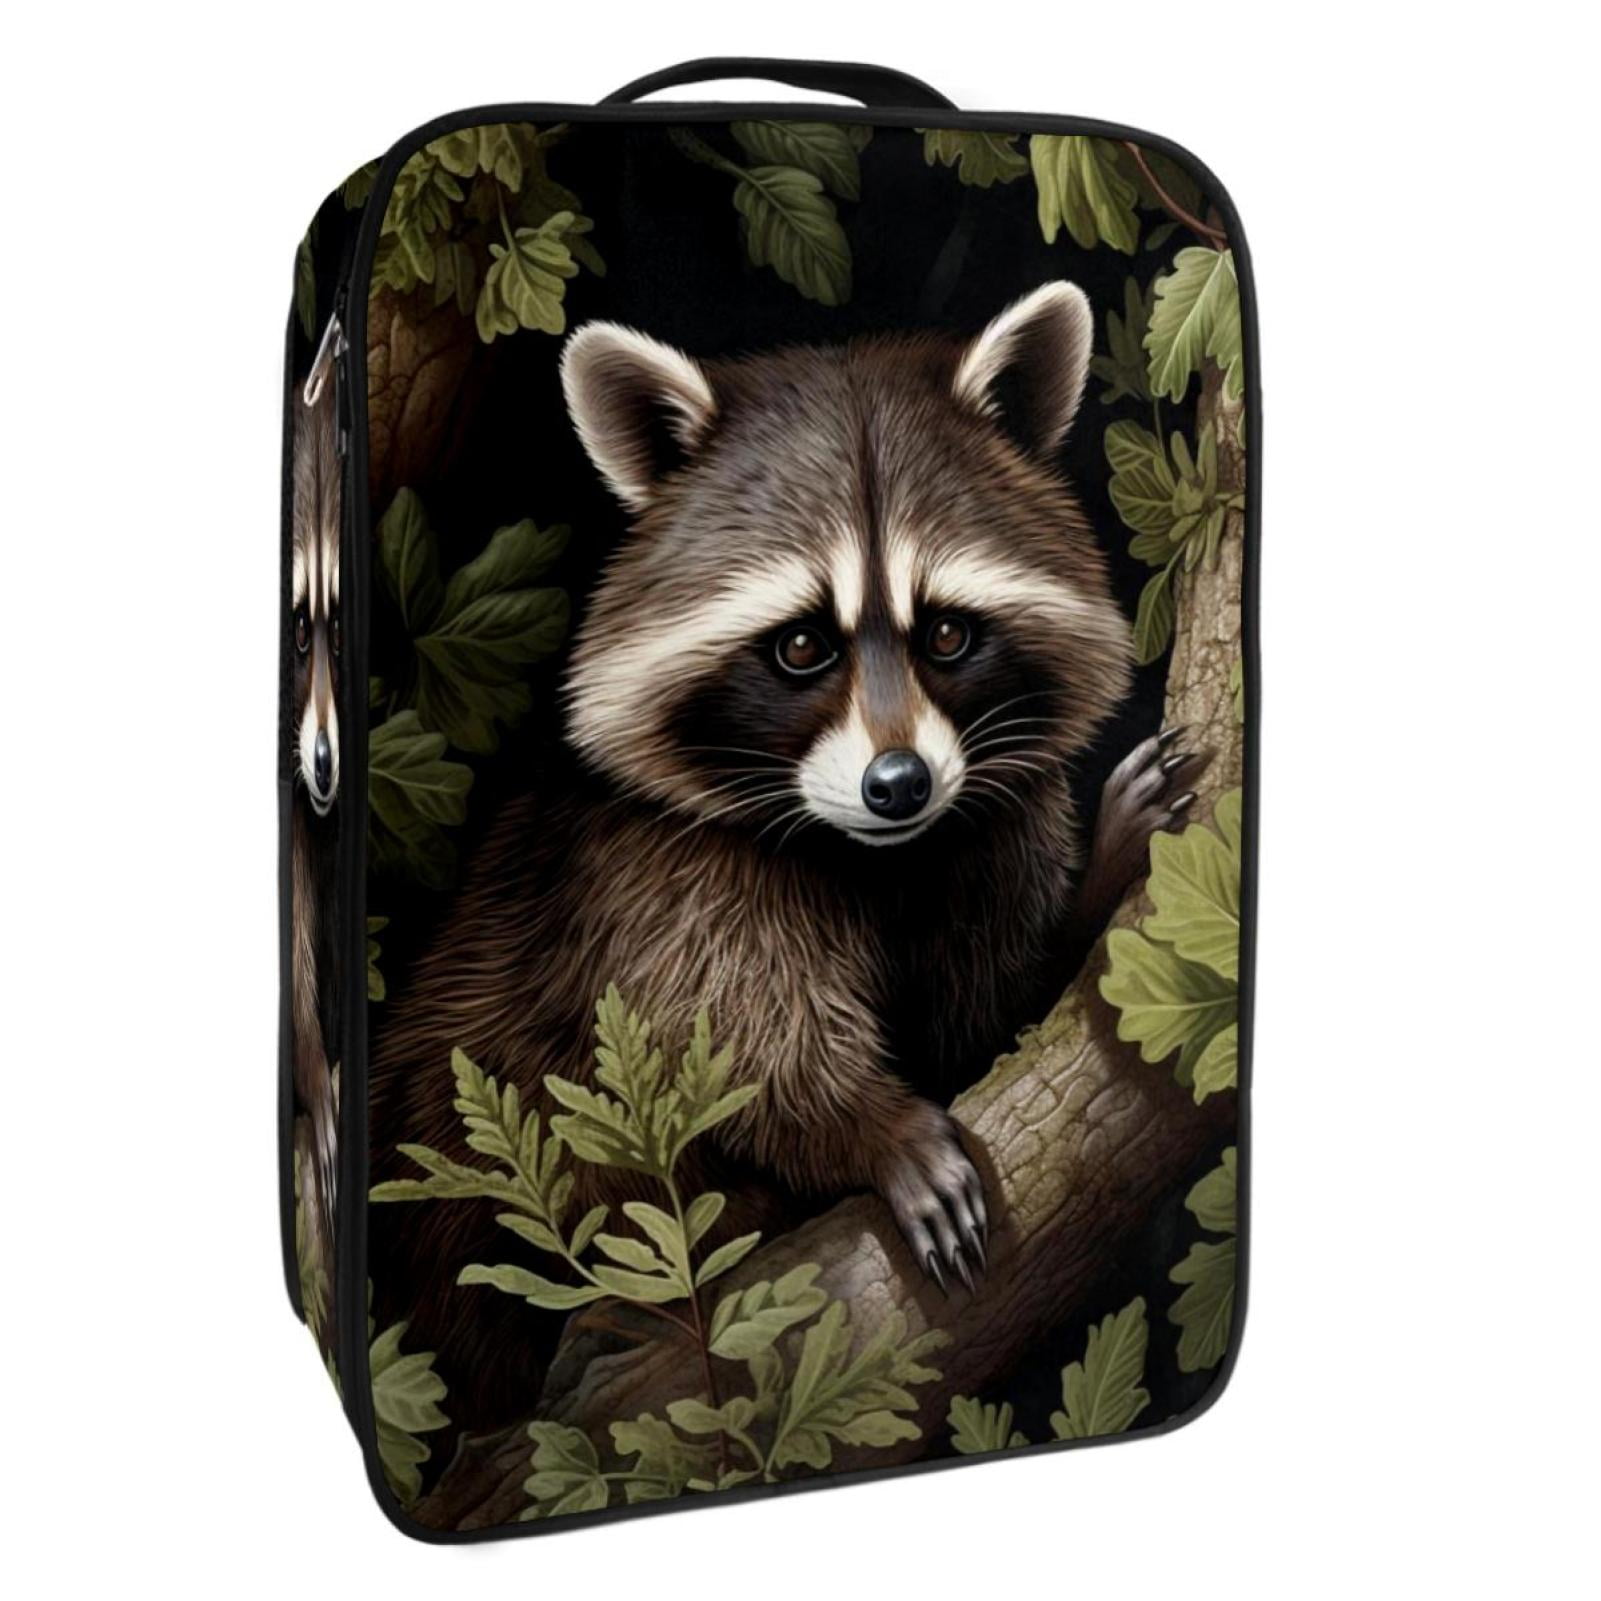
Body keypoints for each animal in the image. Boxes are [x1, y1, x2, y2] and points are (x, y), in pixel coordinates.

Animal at [368, 282, 1202, 1427]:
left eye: (946, 633)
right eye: (802, 645)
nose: (898, 784)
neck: (876, 853)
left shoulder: (984, 838)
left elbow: (988, 1016)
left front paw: (1099, 879)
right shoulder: (652, 876)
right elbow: (734, 1047)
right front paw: (869, 1124)